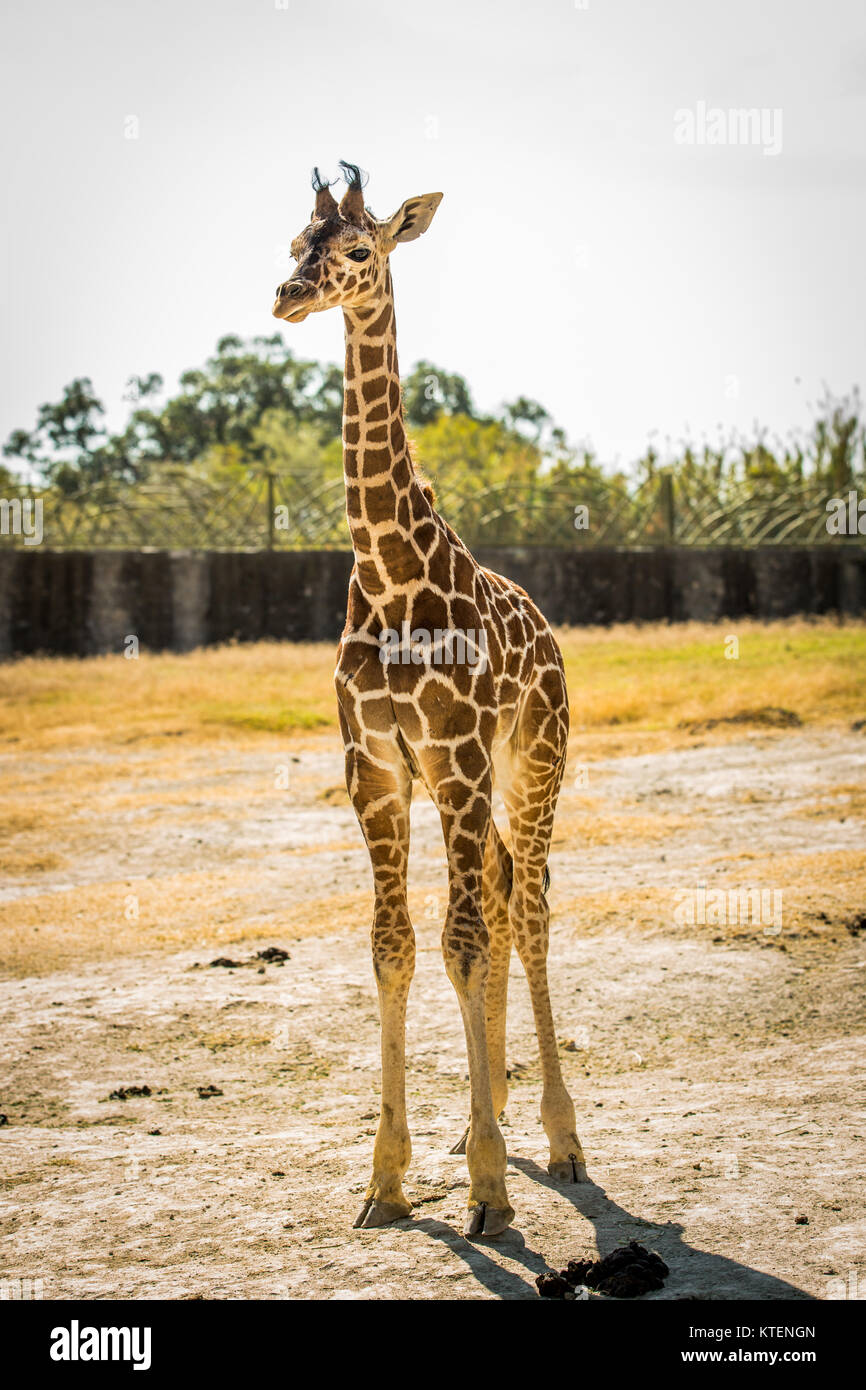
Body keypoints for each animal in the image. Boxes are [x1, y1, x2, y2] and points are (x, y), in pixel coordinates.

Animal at [272, 162, 587, 1238]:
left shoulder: (453, 758)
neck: (389, 567)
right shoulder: (374, 767)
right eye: (293, 244)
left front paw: (491, 1190)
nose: (287, 297)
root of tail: (549, 629)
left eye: (359, 249)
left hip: (534, 768)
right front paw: (387, 1178)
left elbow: (462, 940)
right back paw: (477, 1121)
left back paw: (561, 1140)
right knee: (496, 895)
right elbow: (395, 949)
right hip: (481, 786)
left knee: (525, 911)